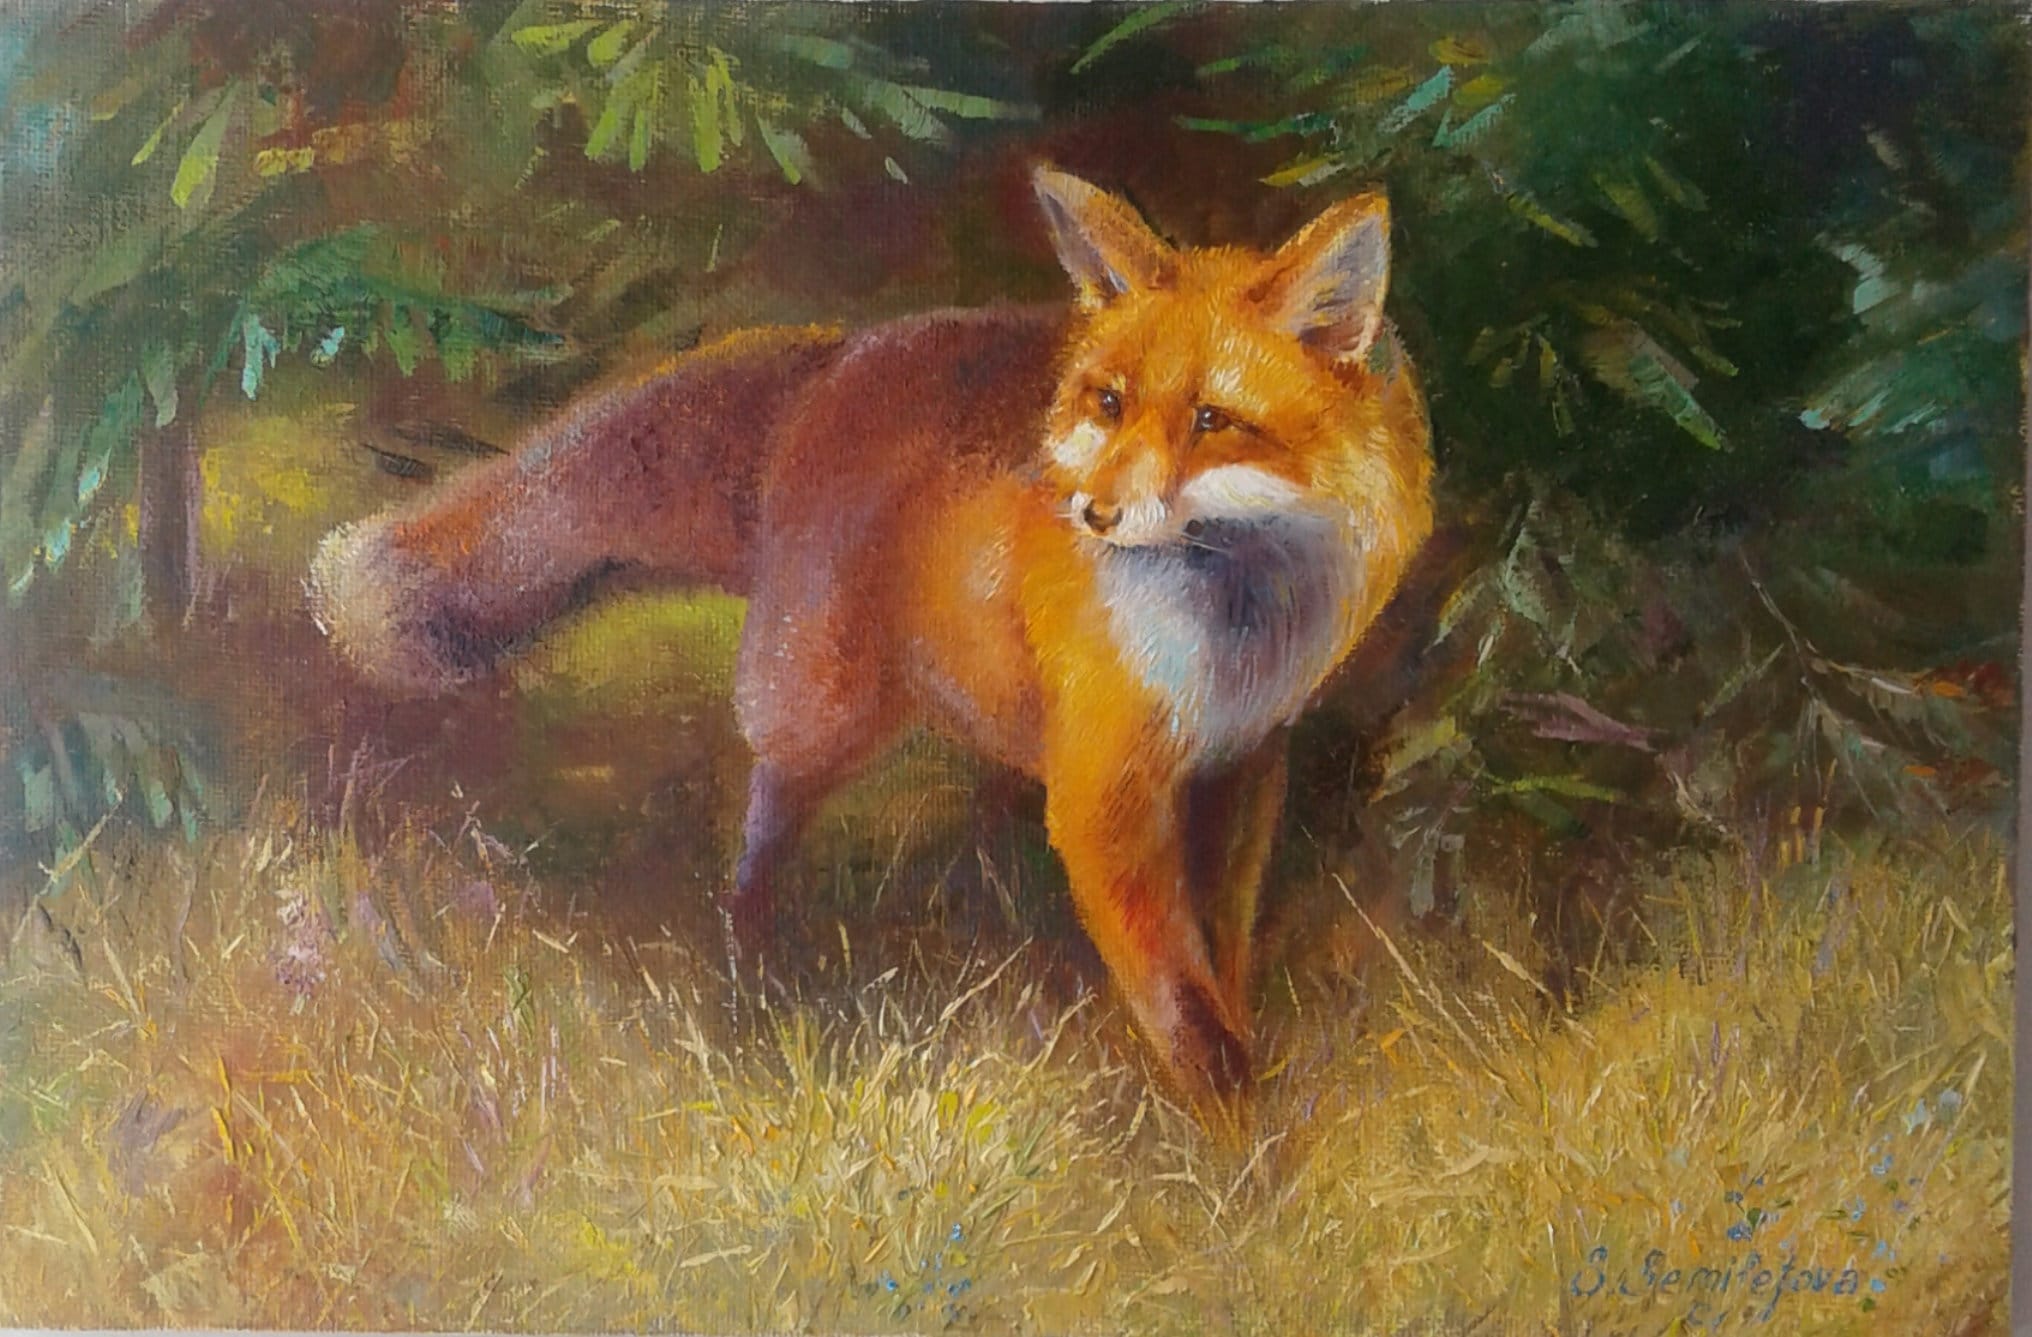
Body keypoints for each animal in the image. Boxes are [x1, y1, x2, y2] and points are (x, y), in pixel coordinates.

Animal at [310, 167, 1435, 1105]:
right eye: (1110, 403)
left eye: (1212, 420)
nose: (1091, 513)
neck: (1231, 634)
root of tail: (839, 352)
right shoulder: (1106, 795)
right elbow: (1190, 1016)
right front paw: (1237, 1153)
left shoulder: (1240, 766)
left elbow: (1225, 968)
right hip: (819, 704)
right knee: (761, 836)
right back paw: (754, 980)